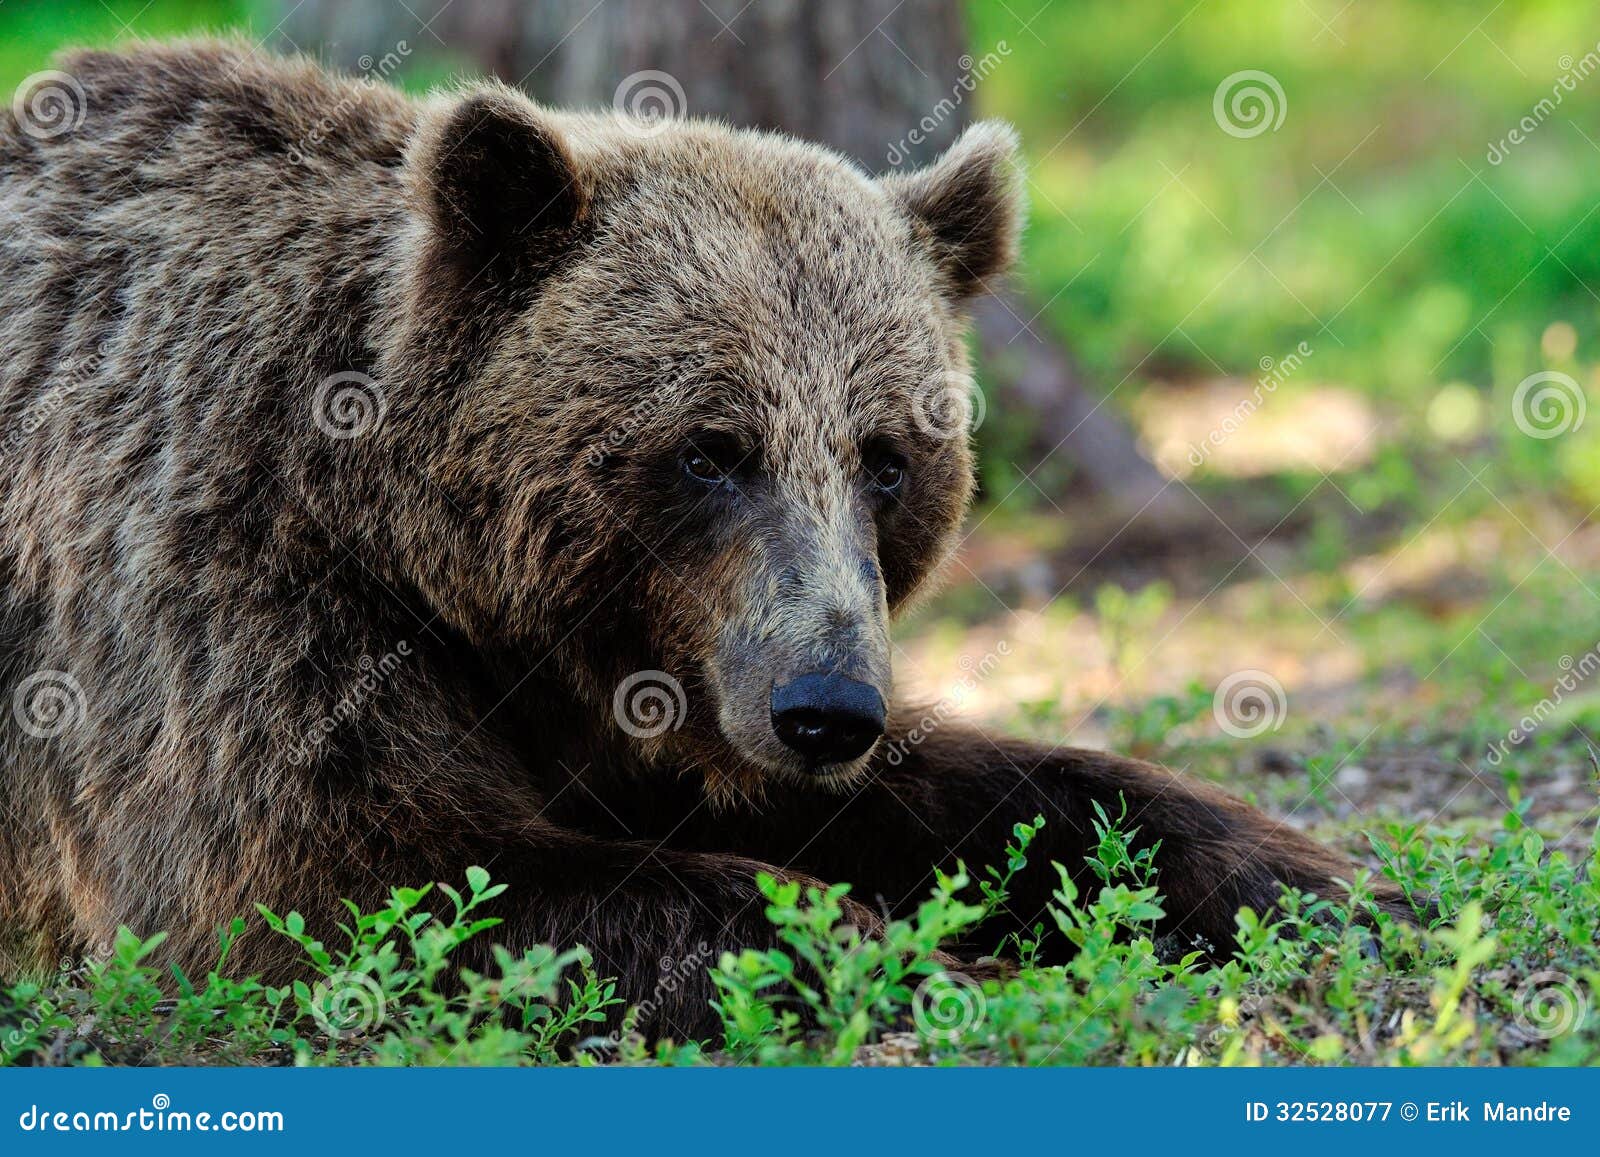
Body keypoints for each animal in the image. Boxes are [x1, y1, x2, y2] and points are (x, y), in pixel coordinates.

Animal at [0, 40, 1414, 1042]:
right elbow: (355, 877)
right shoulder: (221, 581)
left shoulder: (684, 677)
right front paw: (909, 955)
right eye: (708, 448)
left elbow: (989, 792)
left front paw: (1327, 885)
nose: (826, 707)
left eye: (885, 456)